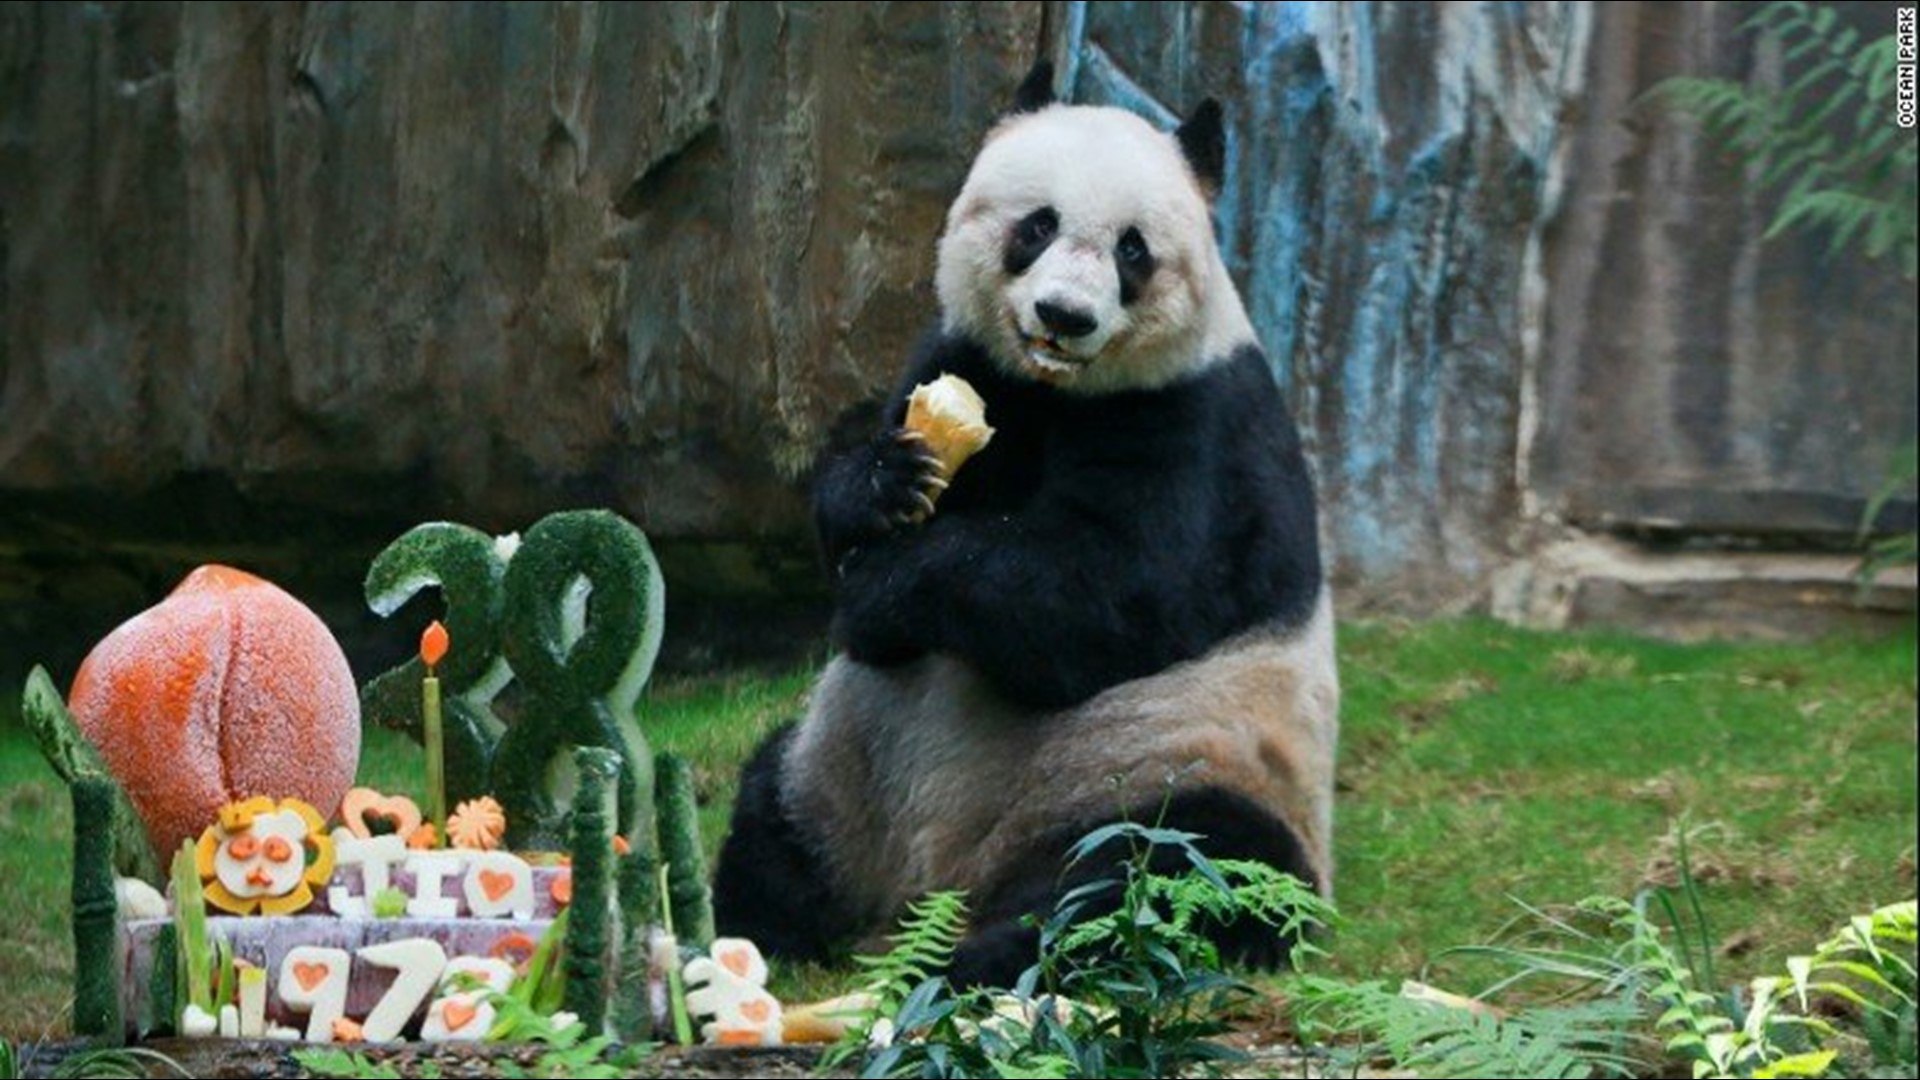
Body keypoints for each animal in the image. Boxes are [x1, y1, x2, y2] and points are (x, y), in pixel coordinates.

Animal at [713, 61, 1338, 987]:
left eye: (1131, 249)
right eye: (1036, 225)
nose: (1064, 316)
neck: (1056, 391)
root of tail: (935, 880)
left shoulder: (1199, 426)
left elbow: (1103, 595)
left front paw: (886, 589)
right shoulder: (963, 362)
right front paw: (879, 485)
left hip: (1169, 760)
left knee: (1168, 873)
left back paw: (977, 962)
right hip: (836, 765)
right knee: (772, 812)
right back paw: (752, 931)